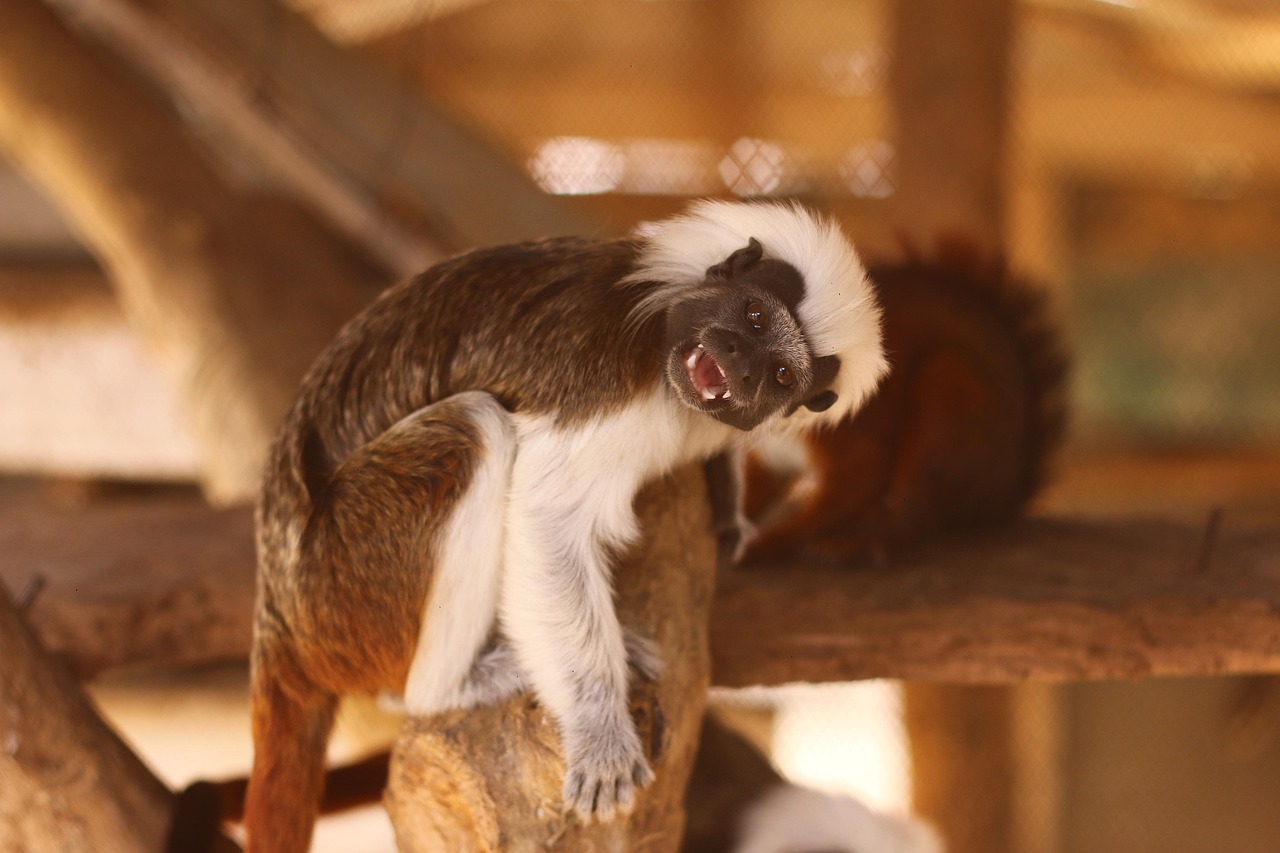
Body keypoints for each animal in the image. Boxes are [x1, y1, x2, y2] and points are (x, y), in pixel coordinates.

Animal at [242, 200, 887, 852]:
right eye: (754, 317)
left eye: (780, 375)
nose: (738, 362)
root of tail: (280, 616)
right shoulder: (607, 382)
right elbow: (546, 520)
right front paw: (599, 732)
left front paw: (727, 493)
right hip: (346, 575)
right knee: (472, 428)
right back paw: (449, 687)